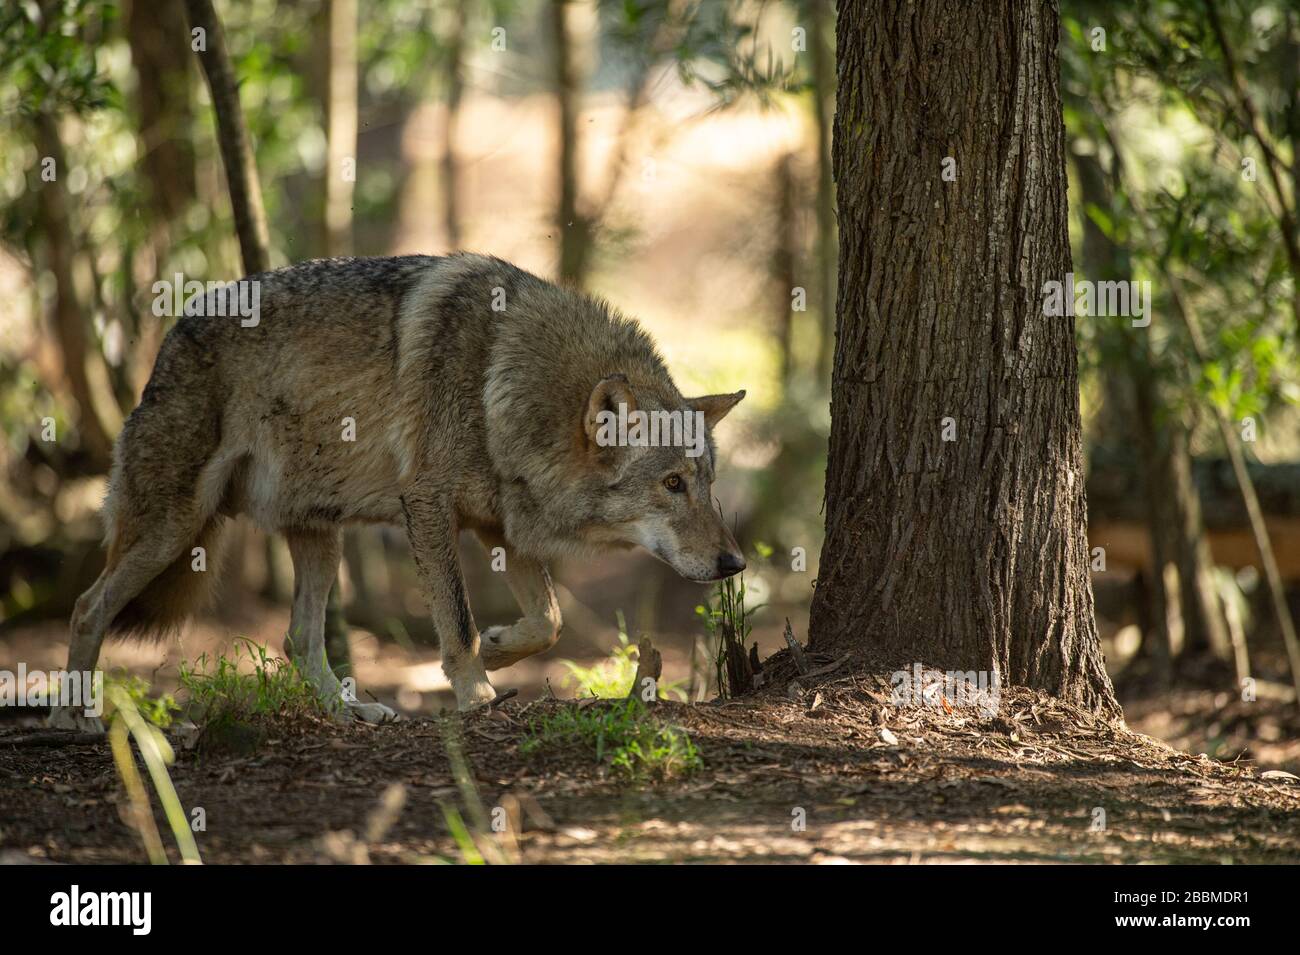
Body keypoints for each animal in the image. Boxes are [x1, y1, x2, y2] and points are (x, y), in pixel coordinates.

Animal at [50, 254, 746, 729]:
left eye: (708, 483)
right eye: (672, 484)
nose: (734, 562)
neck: (505, 384)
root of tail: (170, 336)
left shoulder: (502, 525)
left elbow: (548, 622)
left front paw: (499, 653)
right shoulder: (429, 506)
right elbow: (458, 619)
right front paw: (477, 694)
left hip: (318, 536)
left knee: (297, 640)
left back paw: (352, 712)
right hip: (173, 527)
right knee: (87, 606)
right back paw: (71, 718)